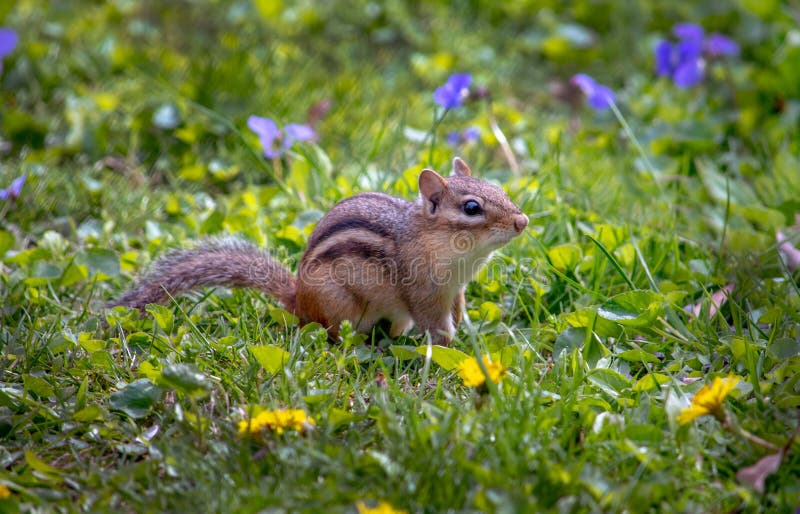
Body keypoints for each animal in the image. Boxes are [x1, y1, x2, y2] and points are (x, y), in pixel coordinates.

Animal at [114, 157, 529, 345]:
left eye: (500, 189)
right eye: (472, 208)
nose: (522, 221)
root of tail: (298, 299)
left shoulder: (455, 290)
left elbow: (458, 309)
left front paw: (471, 331)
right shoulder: (424, 291)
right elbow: (437, 325)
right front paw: (457, 347)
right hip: (340, 308)